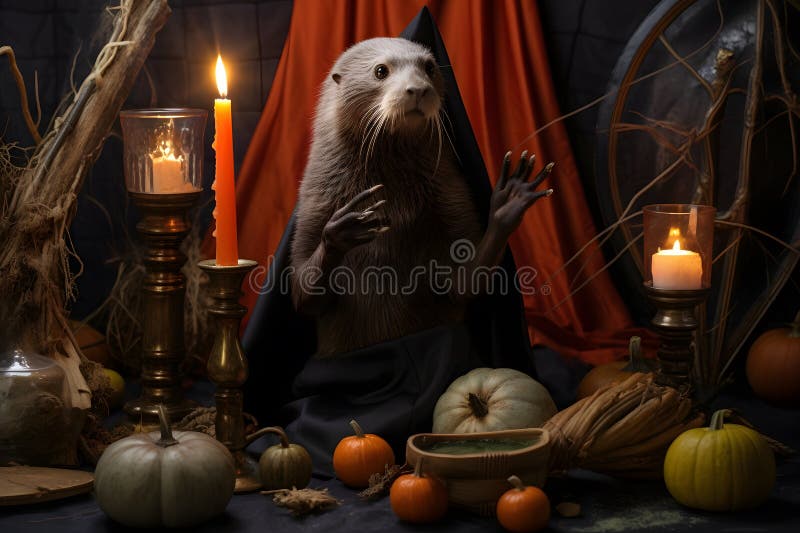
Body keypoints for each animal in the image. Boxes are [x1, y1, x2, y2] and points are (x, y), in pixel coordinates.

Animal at [290, 37, 553, 357]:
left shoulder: (451, 195)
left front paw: (508, 202)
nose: (418, 89)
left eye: (428, 67)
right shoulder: (315, 199)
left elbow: (463, 283)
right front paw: (342, 229)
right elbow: (302, 289)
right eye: (380, 70)